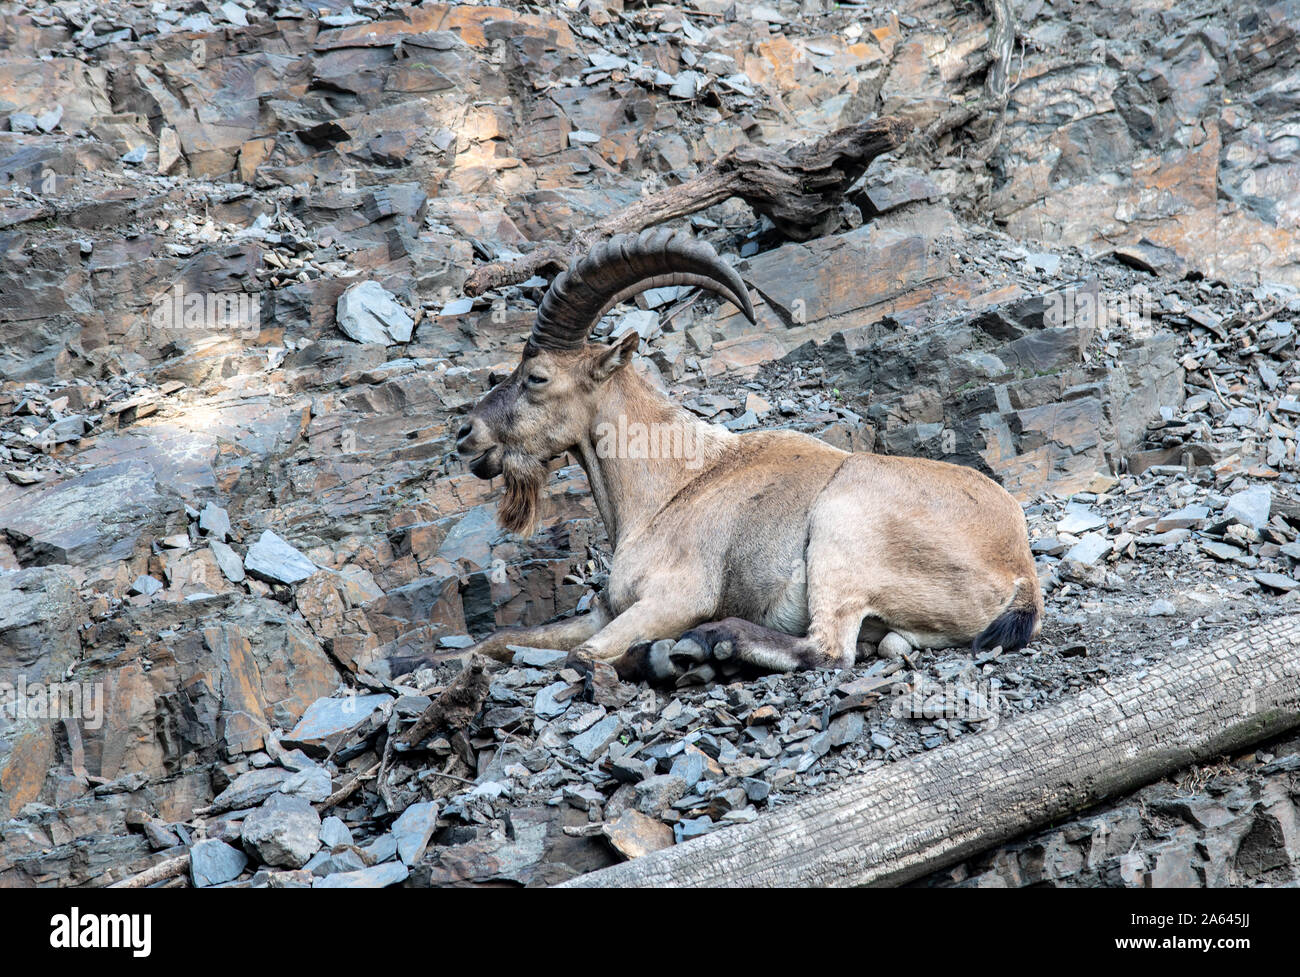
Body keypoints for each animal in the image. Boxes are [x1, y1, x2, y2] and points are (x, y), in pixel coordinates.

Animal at [452, 228, 1042, 682]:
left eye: (536, 377)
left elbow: (585, 656)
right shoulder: (607, 610)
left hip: (842, 527)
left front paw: (663, 654)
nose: (466, 434)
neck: (669, 488)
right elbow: (500, 643)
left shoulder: (676, 597)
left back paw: (706, 647)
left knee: (828, 651)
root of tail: (1019, 572)